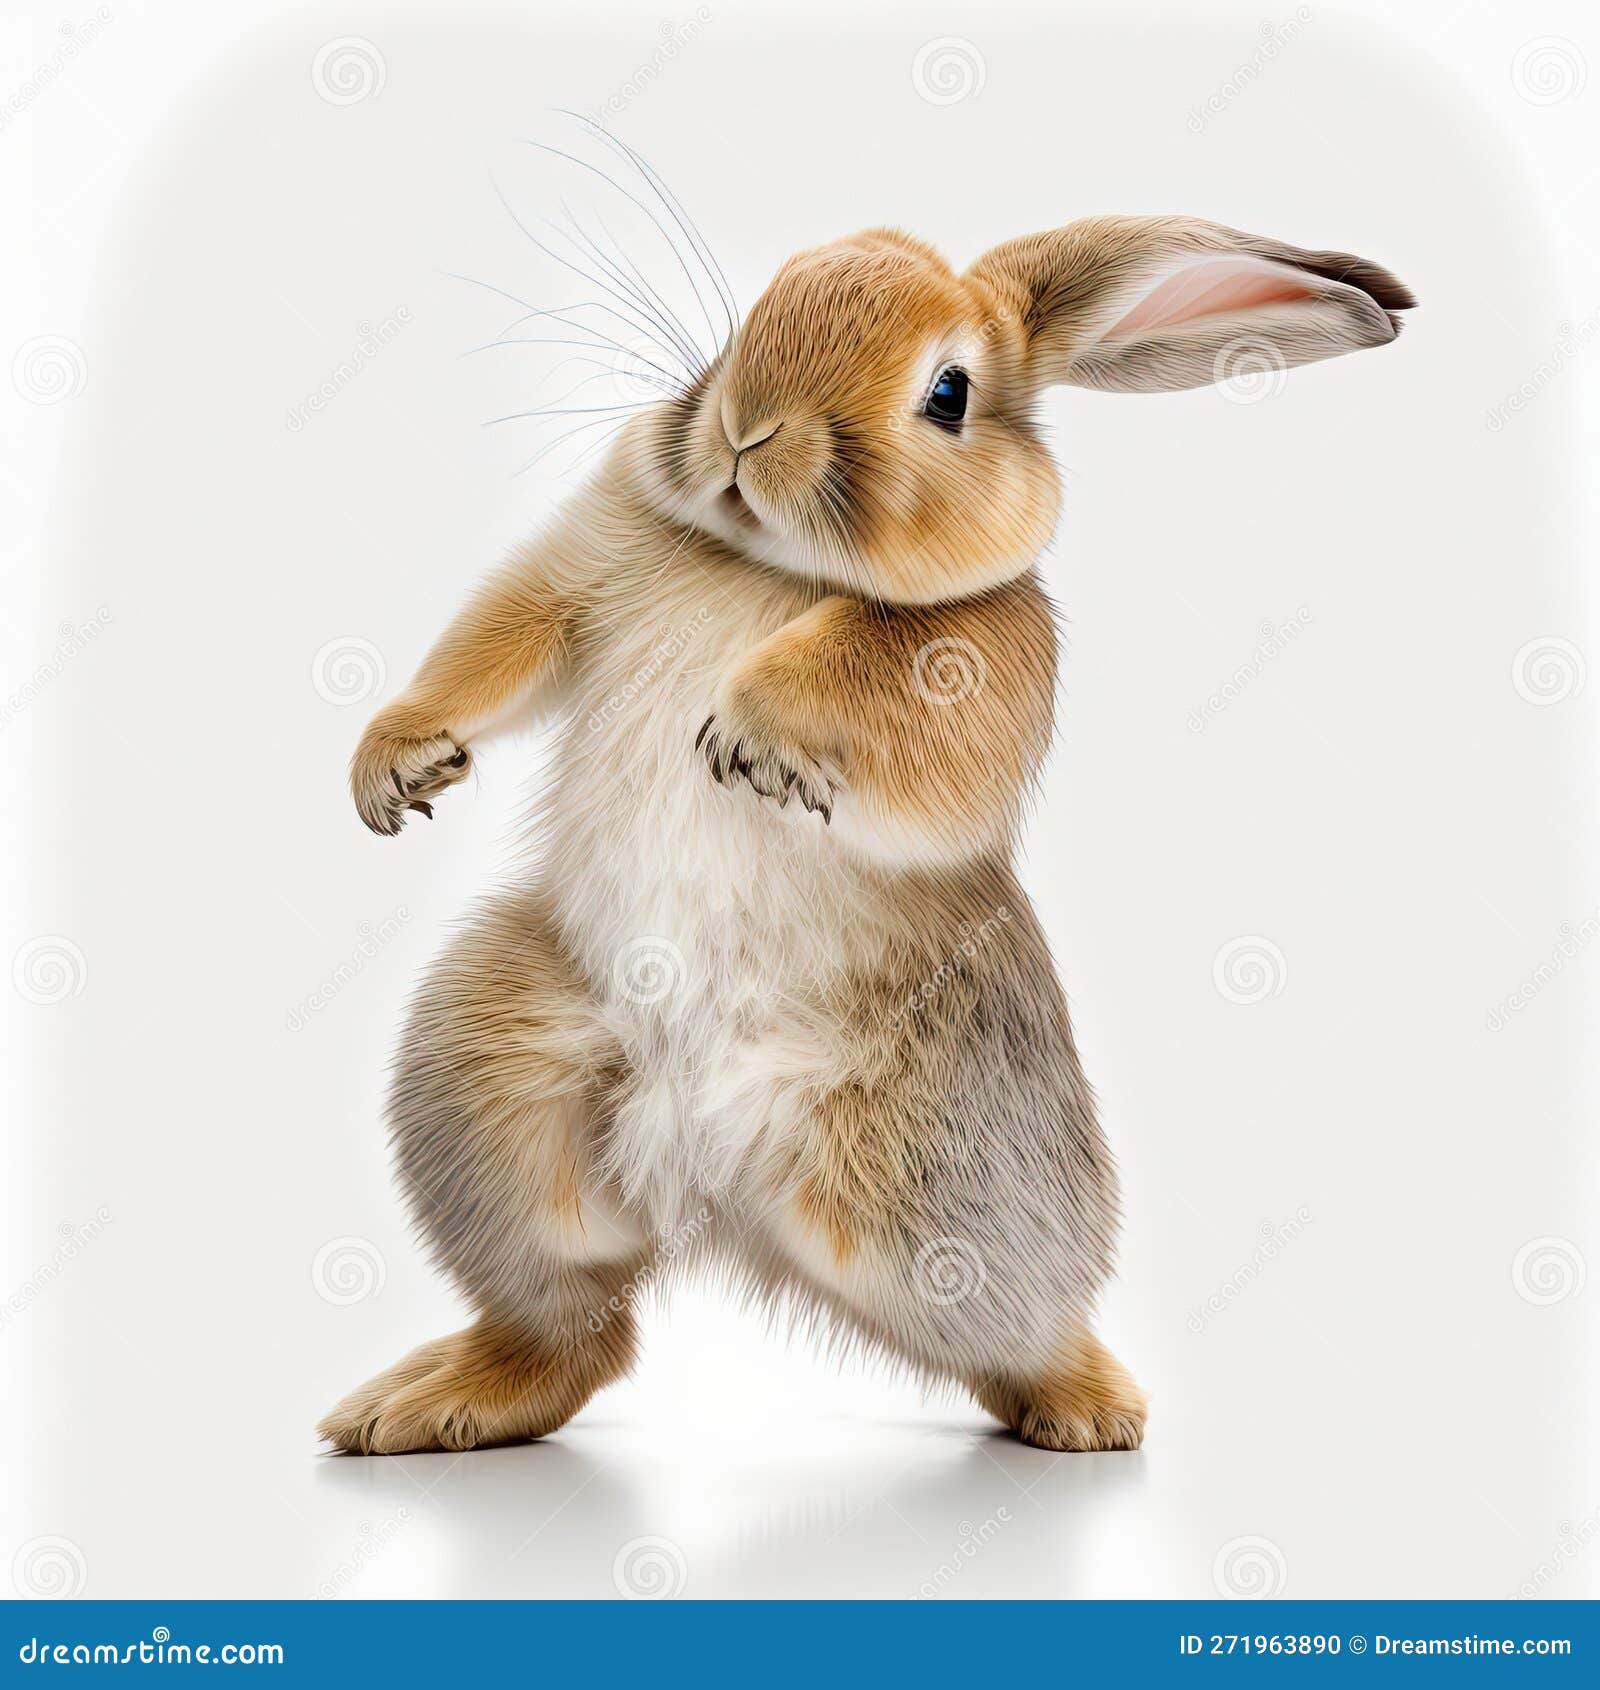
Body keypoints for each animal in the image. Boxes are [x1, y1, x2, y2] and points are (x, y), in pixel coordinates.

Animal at [319, 214, 1413, 1455]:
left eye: (948, 392)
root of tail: (708, 1187)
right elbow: (496, 645)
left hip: (943, 1191)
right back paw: (418, 1404)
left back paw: (1092, 1415)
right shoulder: (576, 567)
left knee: (1016, 1330)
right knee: (576, 1325)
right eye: (766, 304)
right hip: (487, 1071)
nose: (748, 428)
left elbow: (874, 695)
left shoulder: (976, 659)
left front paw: (752, 733)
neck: (765, 561)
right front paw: (396, 765)